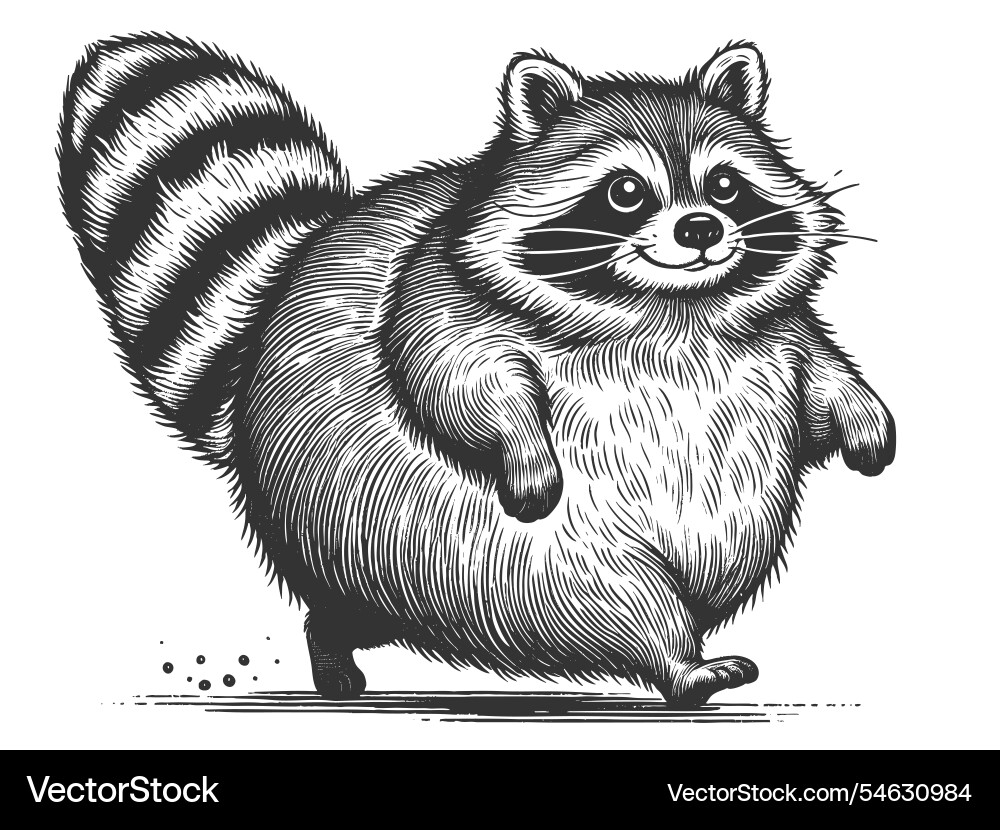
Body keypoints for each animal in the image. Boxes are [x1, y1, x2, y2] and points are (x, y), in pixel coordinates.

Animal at [59, 35, 894, 704]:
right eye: (627, 191)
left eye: (724, 185)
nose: (701, 230)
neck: (667, 312)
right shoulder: (442, 294)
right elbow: (456, 377)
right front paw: (520, 440)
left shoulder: (776, 331)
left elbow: (821, 375)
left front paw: (865, 417)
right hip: (456, 546)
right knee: (614, 596)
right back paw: (676, 664)